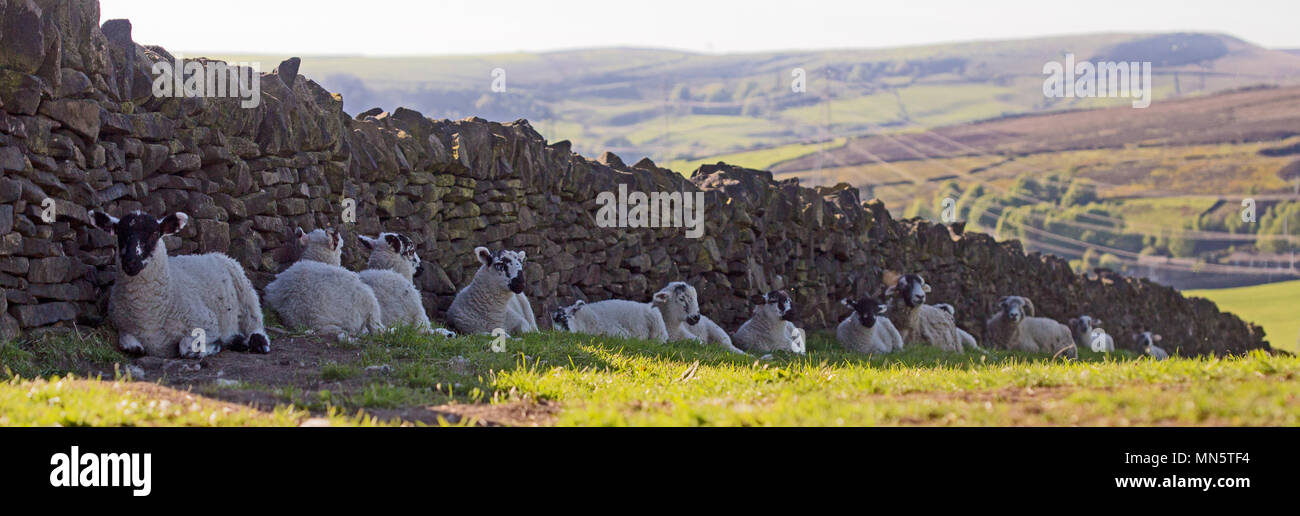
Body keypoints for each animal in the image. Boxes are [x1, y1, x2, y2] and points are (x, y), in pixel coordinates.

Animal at [89, 210, 270, 358]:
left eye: (155, 233)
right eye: (120, 233)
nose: (130, 263)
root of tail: (215, 254)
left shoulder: (207, 323)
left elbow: (185, 347)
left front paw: (215, 346)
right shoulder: (122, 326)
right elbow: (129, 343)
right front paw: (133, 346)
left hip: (246, 293)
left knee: (256, 324)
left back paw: (254, 342)